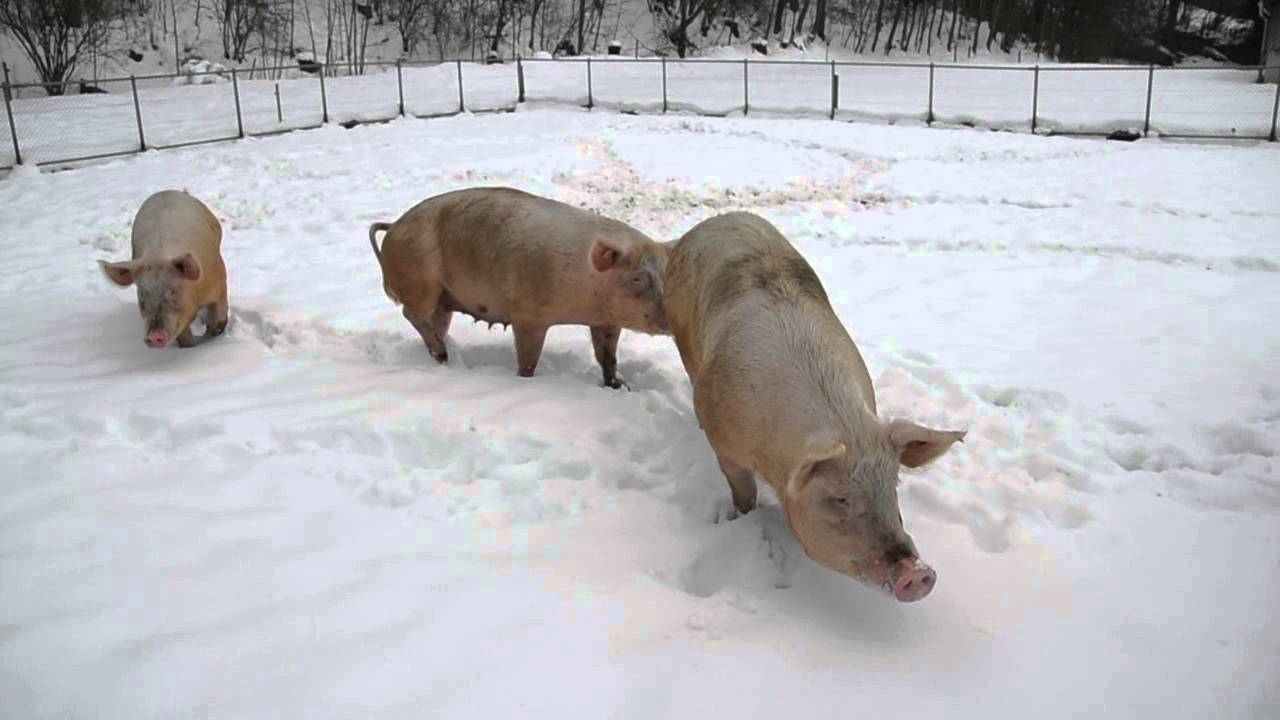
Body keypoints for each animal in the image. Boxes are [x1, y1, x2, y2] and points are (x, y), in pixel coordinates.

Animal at [98, 190, 229, 349]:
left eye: (173, 291)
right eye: (142, 294)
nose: (154, 335)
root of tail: (167, 191)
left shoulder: (219, 283)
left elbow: (219, 318)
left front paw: (212, 337)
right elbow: (184, 338)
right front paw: (190, 347)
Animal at [368, 186, 669, 388]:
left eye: (665, 275)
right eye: (637, 279)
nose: (671, 316)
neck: (591, 290)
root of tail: (394, 225)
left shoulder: (606, 322)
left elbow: (607, 357)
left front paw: (619, 386)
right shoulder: (528, 314)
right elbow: (528, 358)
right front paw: (525, 381)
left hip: (442, 298)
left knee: (435, 322)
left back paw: (443, 359)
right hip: (420, 281)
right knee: (411, 313)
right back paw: (442, 354)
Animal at [664, 212, 966, 603]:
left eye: (894, 485)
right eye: (840, 498)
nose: (919, 573)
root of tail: (720, 218)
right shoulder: (726, 445)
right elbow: (743, 492)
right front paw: (740, 519)